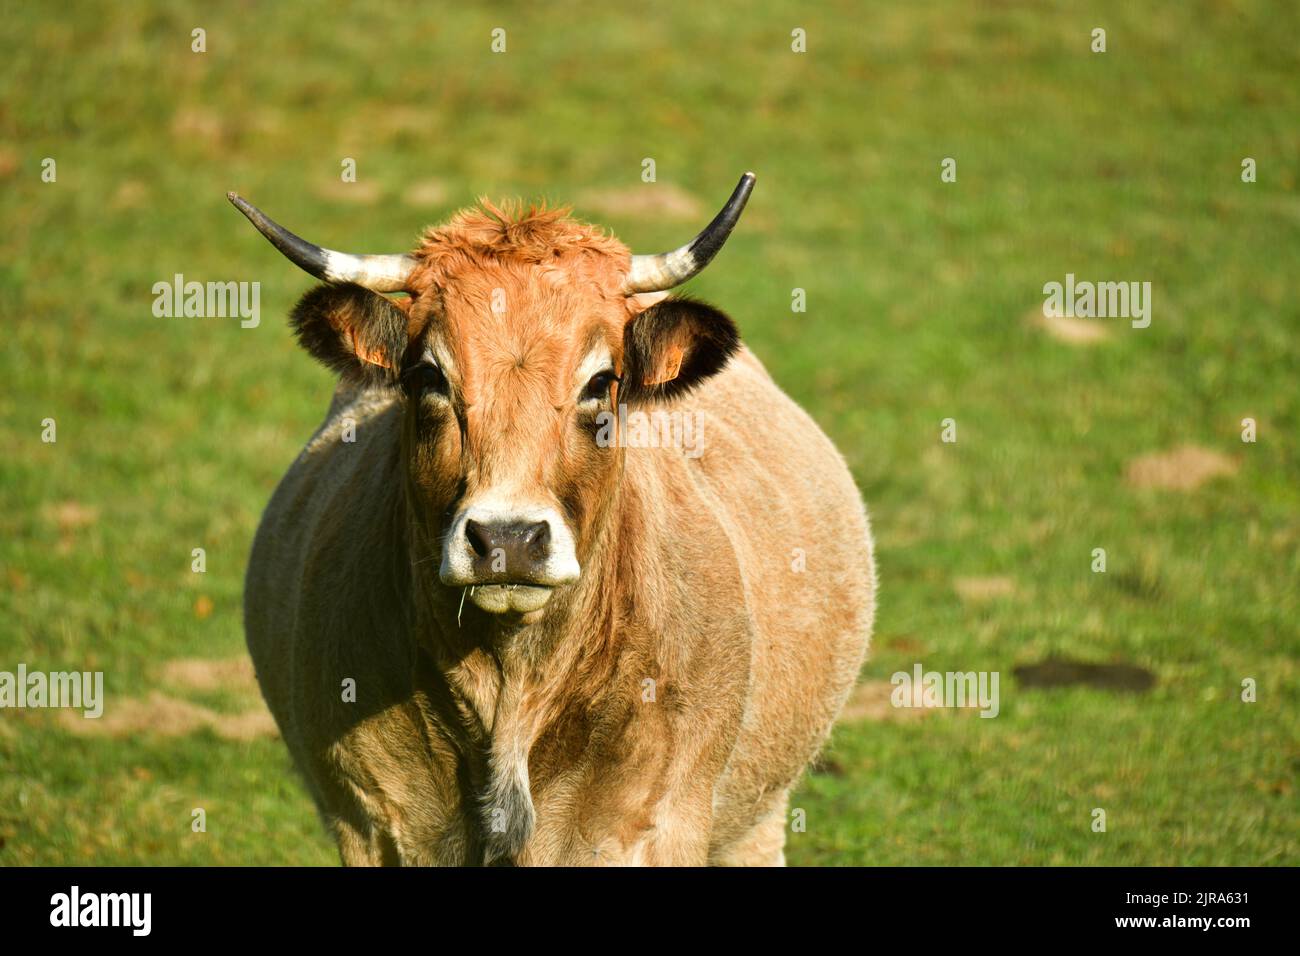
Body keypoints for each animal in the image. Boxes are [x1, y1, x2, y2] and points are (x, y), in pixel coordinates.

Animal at [232, 174, 876, 866]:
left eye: (600, 382)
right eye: (429, 376)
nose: (507, 539)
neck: (512, 691)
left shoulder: (656, 822)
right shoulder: (372, 824)